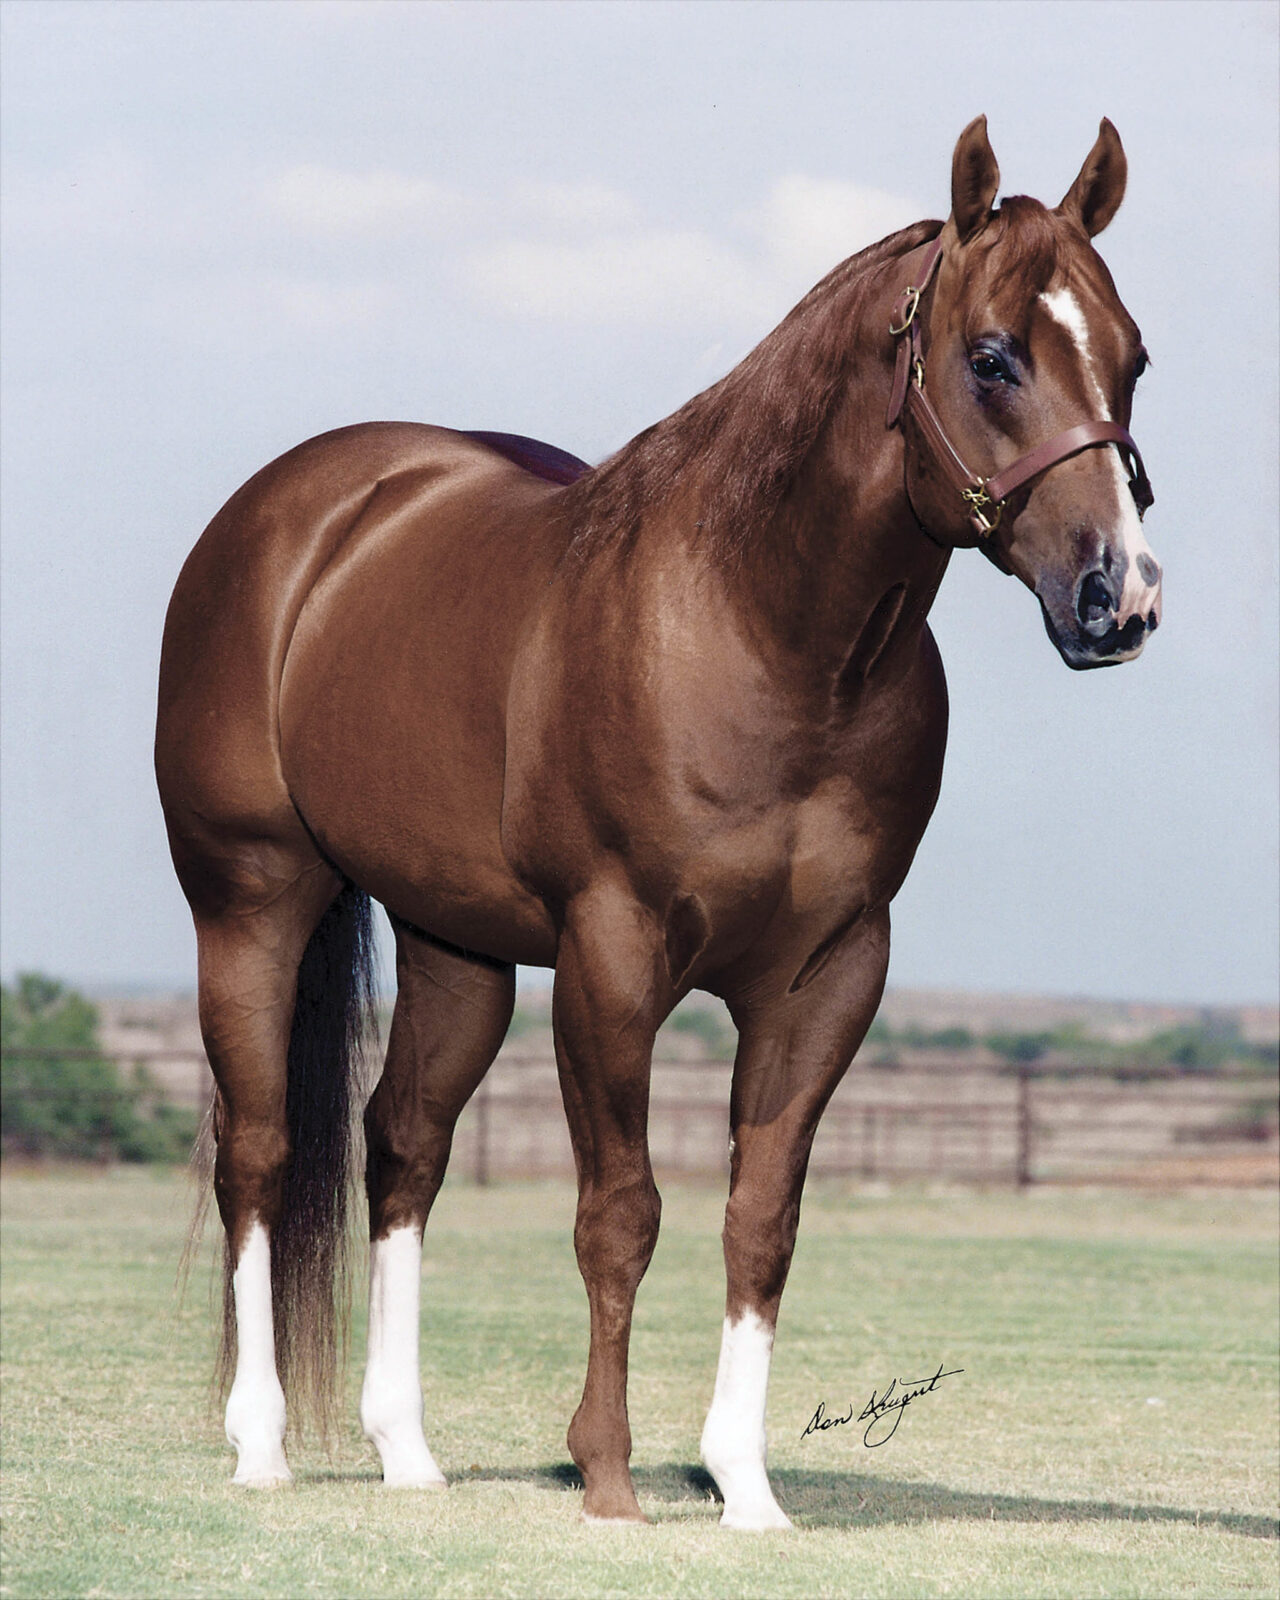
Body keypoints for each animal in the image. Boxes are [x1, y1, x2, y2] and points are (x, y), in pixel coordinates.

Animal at [156, 116, 1161, 1529]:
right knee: (255, 1150)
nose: (1117, 595)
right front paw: (610, 1478)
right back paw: (260, 1446)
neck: (762, 632)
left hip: (456, 946)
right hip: (250, 899)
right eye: (992, 355)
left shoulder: (827, 972)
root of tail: (297, 513)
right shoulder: (612, 955)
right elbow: (618, 1213)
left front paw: (743, 1487)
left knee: (400, 1149)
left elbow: (761, 1218)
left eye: (1131, 355)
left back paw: (407, 1452)